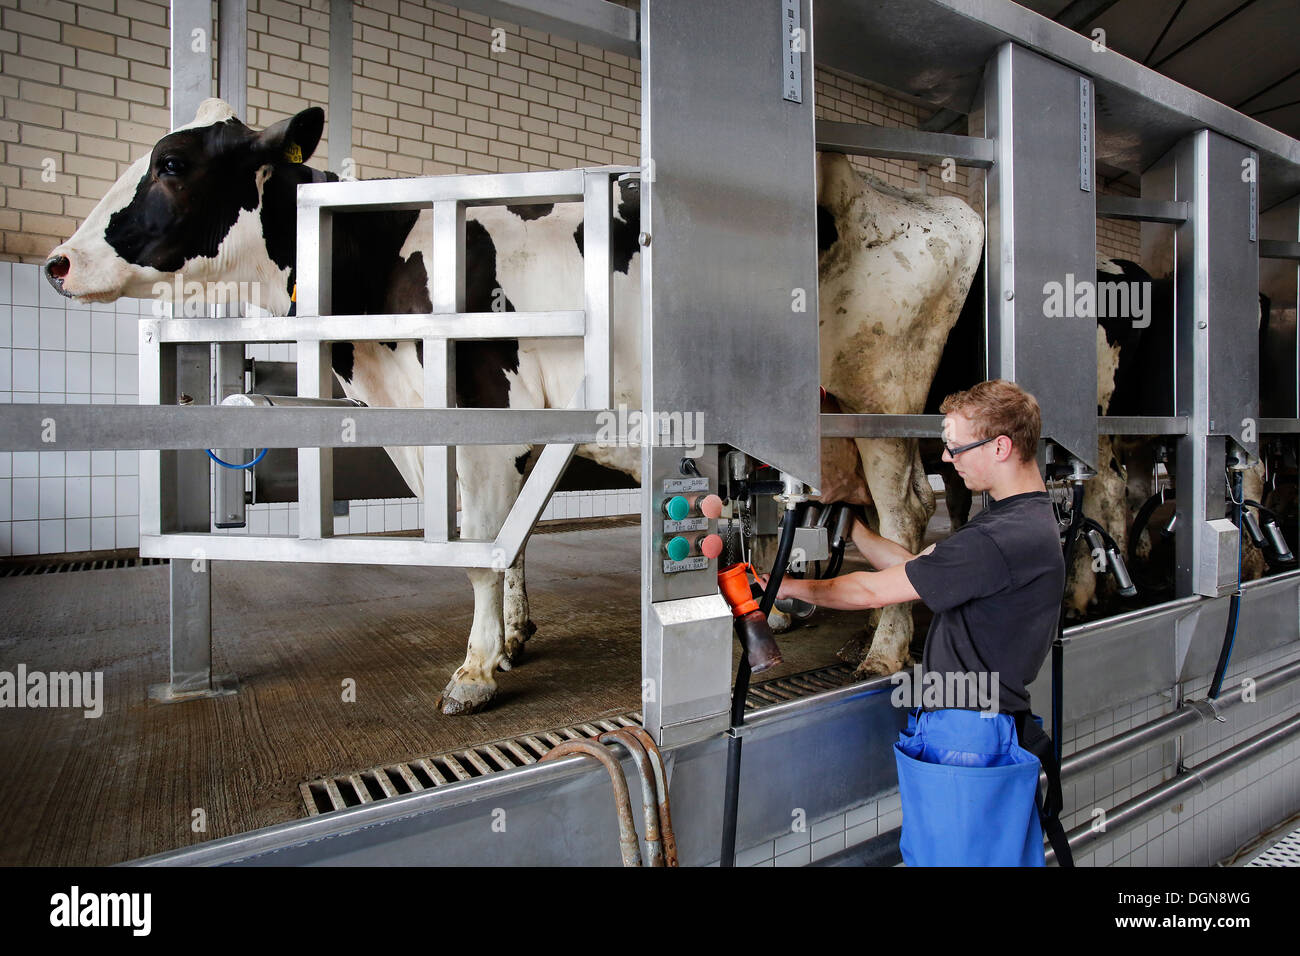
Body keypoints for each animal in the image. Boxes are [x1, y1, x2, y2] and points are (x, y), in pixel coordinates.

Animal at [48, 102, 982, 712]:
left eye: (172, 163)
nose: (57, 262)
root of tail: (921, 199)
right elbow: (506, 535)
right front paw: (514, 634)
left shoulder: (479, 417)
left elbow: (479, 547)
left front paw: (474, 668)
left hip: (878, 402)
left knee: (905, 512)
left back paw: (886, 649)